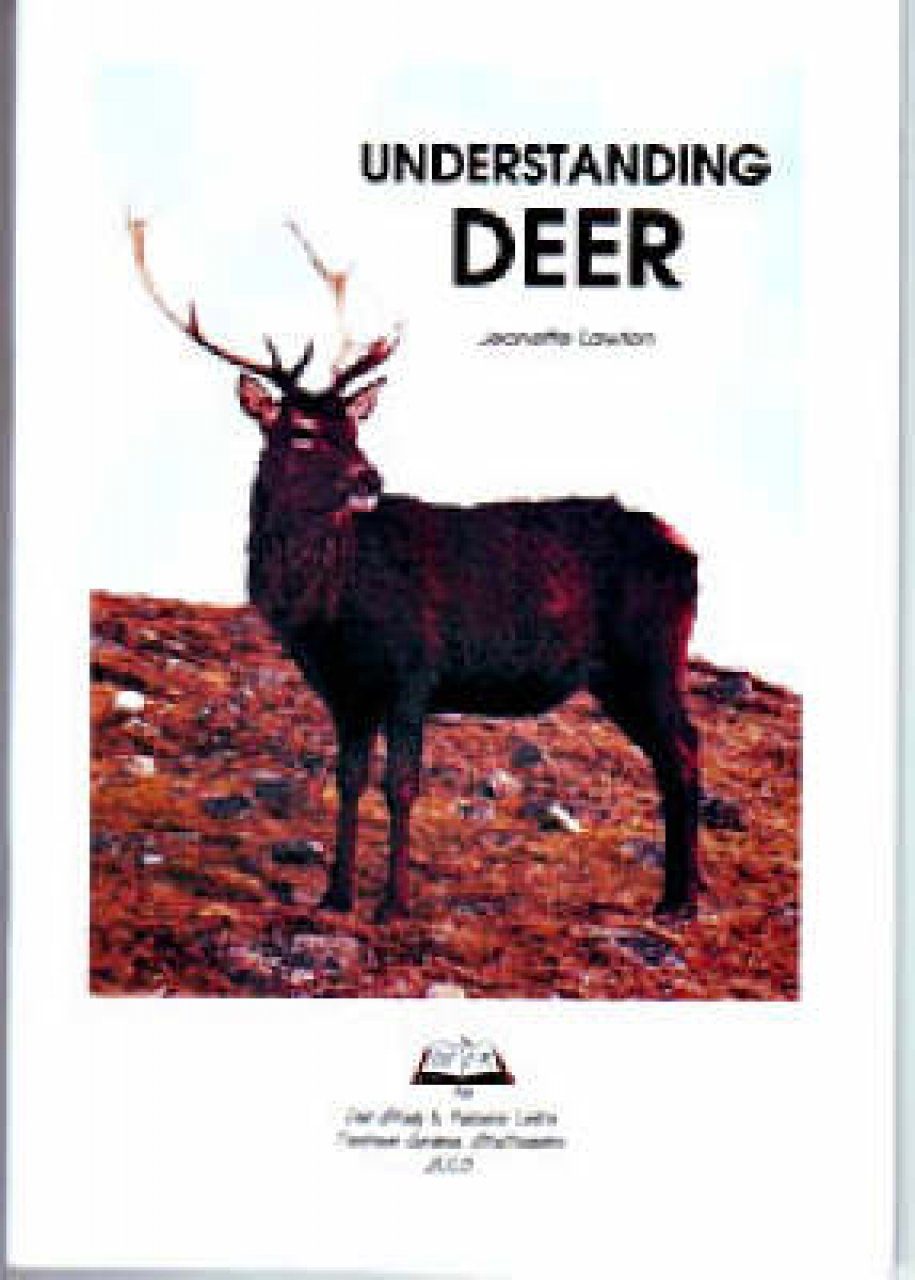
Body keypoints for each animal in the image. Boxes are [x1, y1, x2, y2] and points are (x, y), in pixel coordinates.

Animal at [128, 216, 702, 923]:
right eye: (301, 431)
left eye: (352, 428)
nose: (369, 478)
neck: (326, 612)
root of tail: (687, 549)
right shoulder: (344, 688)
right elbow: (347, 780)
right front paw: (335, 896)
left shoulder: (412, 670)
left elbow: (401, 783)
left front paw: (393, 904)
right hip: (619, 676)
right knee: (673, 755)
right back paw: (672, 896)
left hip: (650, 656)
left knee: (683, 752)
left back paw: (683, 900)